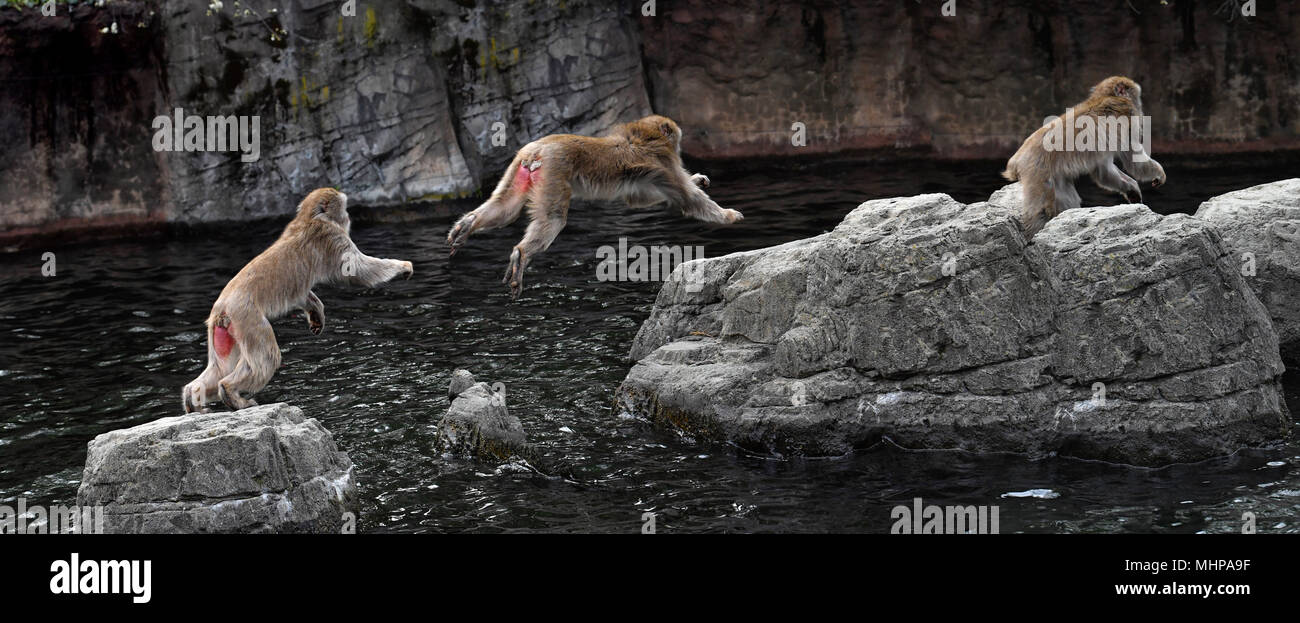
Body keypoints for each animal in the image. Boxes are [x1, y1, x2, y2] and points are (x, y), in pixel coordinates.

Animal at [181, 187, 413, 414]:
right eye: (344, 208)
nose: (348, 217)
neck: (309, 216)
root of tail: (221, 308)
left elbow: (300, 296)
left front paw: (317, 313)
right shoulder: (332, 237)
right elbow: (357, 270)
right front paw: (402, 266)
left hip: (224, 331)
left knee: (220, 367)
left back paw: (193, 398)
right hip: (248, 320)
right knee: (266, 358)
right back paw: (231, 393)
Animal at [446, 114, 742, 298]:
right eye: (677, 142)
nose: (680, 147)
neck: (644, 137)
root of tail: (536, 151)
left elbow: (639, 199)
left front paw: (697, 179)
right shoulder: (664, 162)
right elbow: (688, 199)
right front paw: (729, 216)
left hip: (519, 165)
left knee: (506, 209)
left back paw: (467, 225)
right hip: (554, 170)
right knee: (553, 219)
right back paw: (521, 255)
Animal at [1002, 75, 1167, 237]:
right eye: (1137, 97)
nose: (1141, 106)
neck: (1106, 96)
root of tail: (1016, 159)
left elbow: (1103, 172)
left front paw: (1131, 188)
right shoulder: (1129, 116)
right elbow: (1134, 162)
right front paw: (1159, 174)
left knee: (1066, 197)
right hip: (1037, 171)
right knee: (1041, 208)